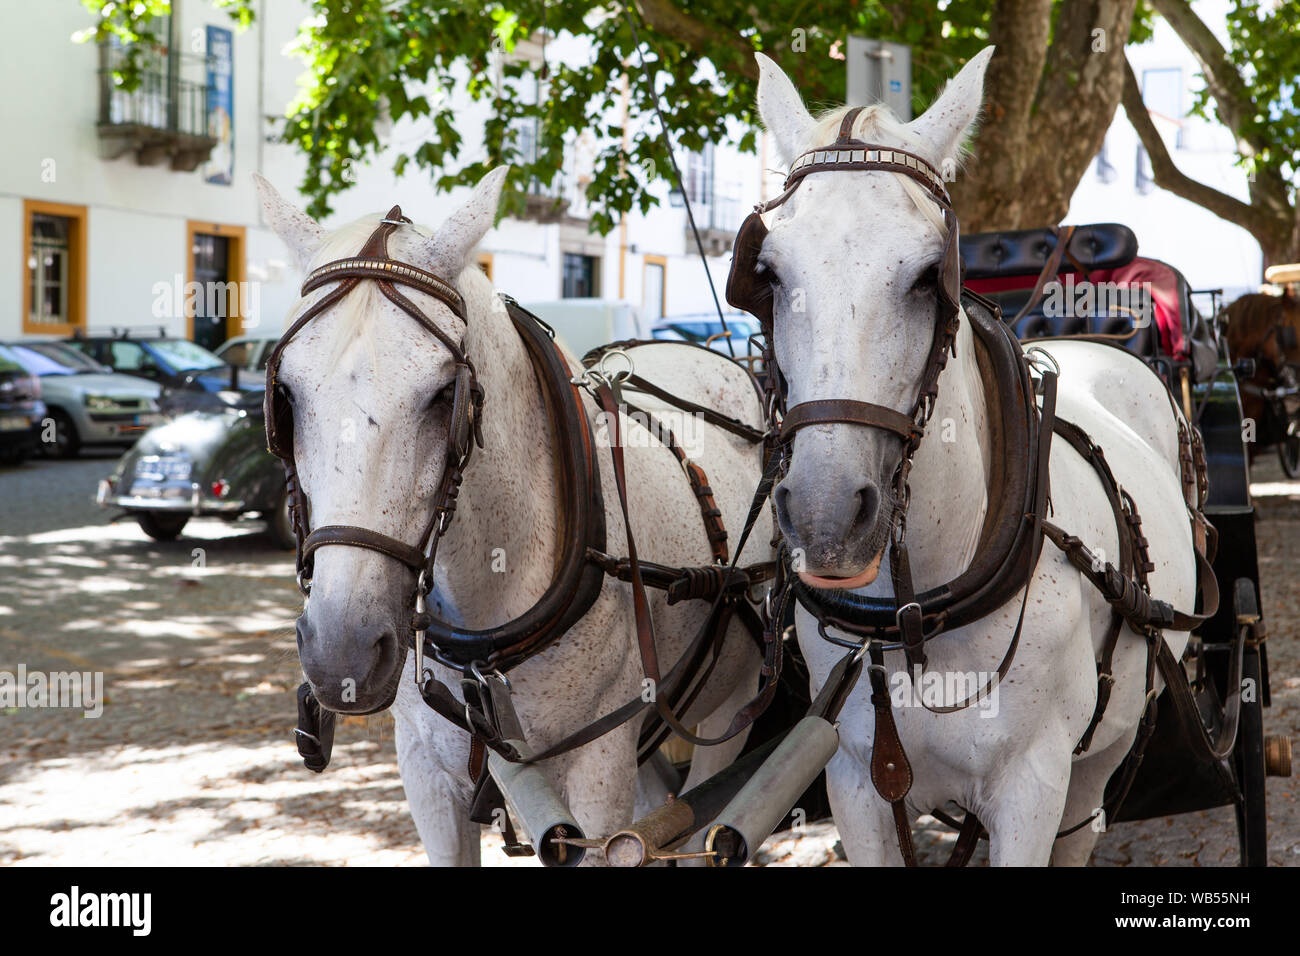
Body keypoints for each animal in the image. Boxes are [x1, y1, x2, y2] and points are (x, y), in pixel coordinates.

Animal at [253, 168, 772, 865]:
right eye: (284, 396)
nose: (342, 651)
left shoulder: (597, 778)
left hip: (729, 711)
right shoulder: (426, 772)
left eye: (445, 395)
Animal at [745, 48, 1204, 865]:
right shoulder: (854, 784)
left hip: (1099, 759)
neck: (916, 616)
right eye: (766, 274)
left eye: (932, 274)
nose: (828, 517)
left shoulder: (1031, 786)